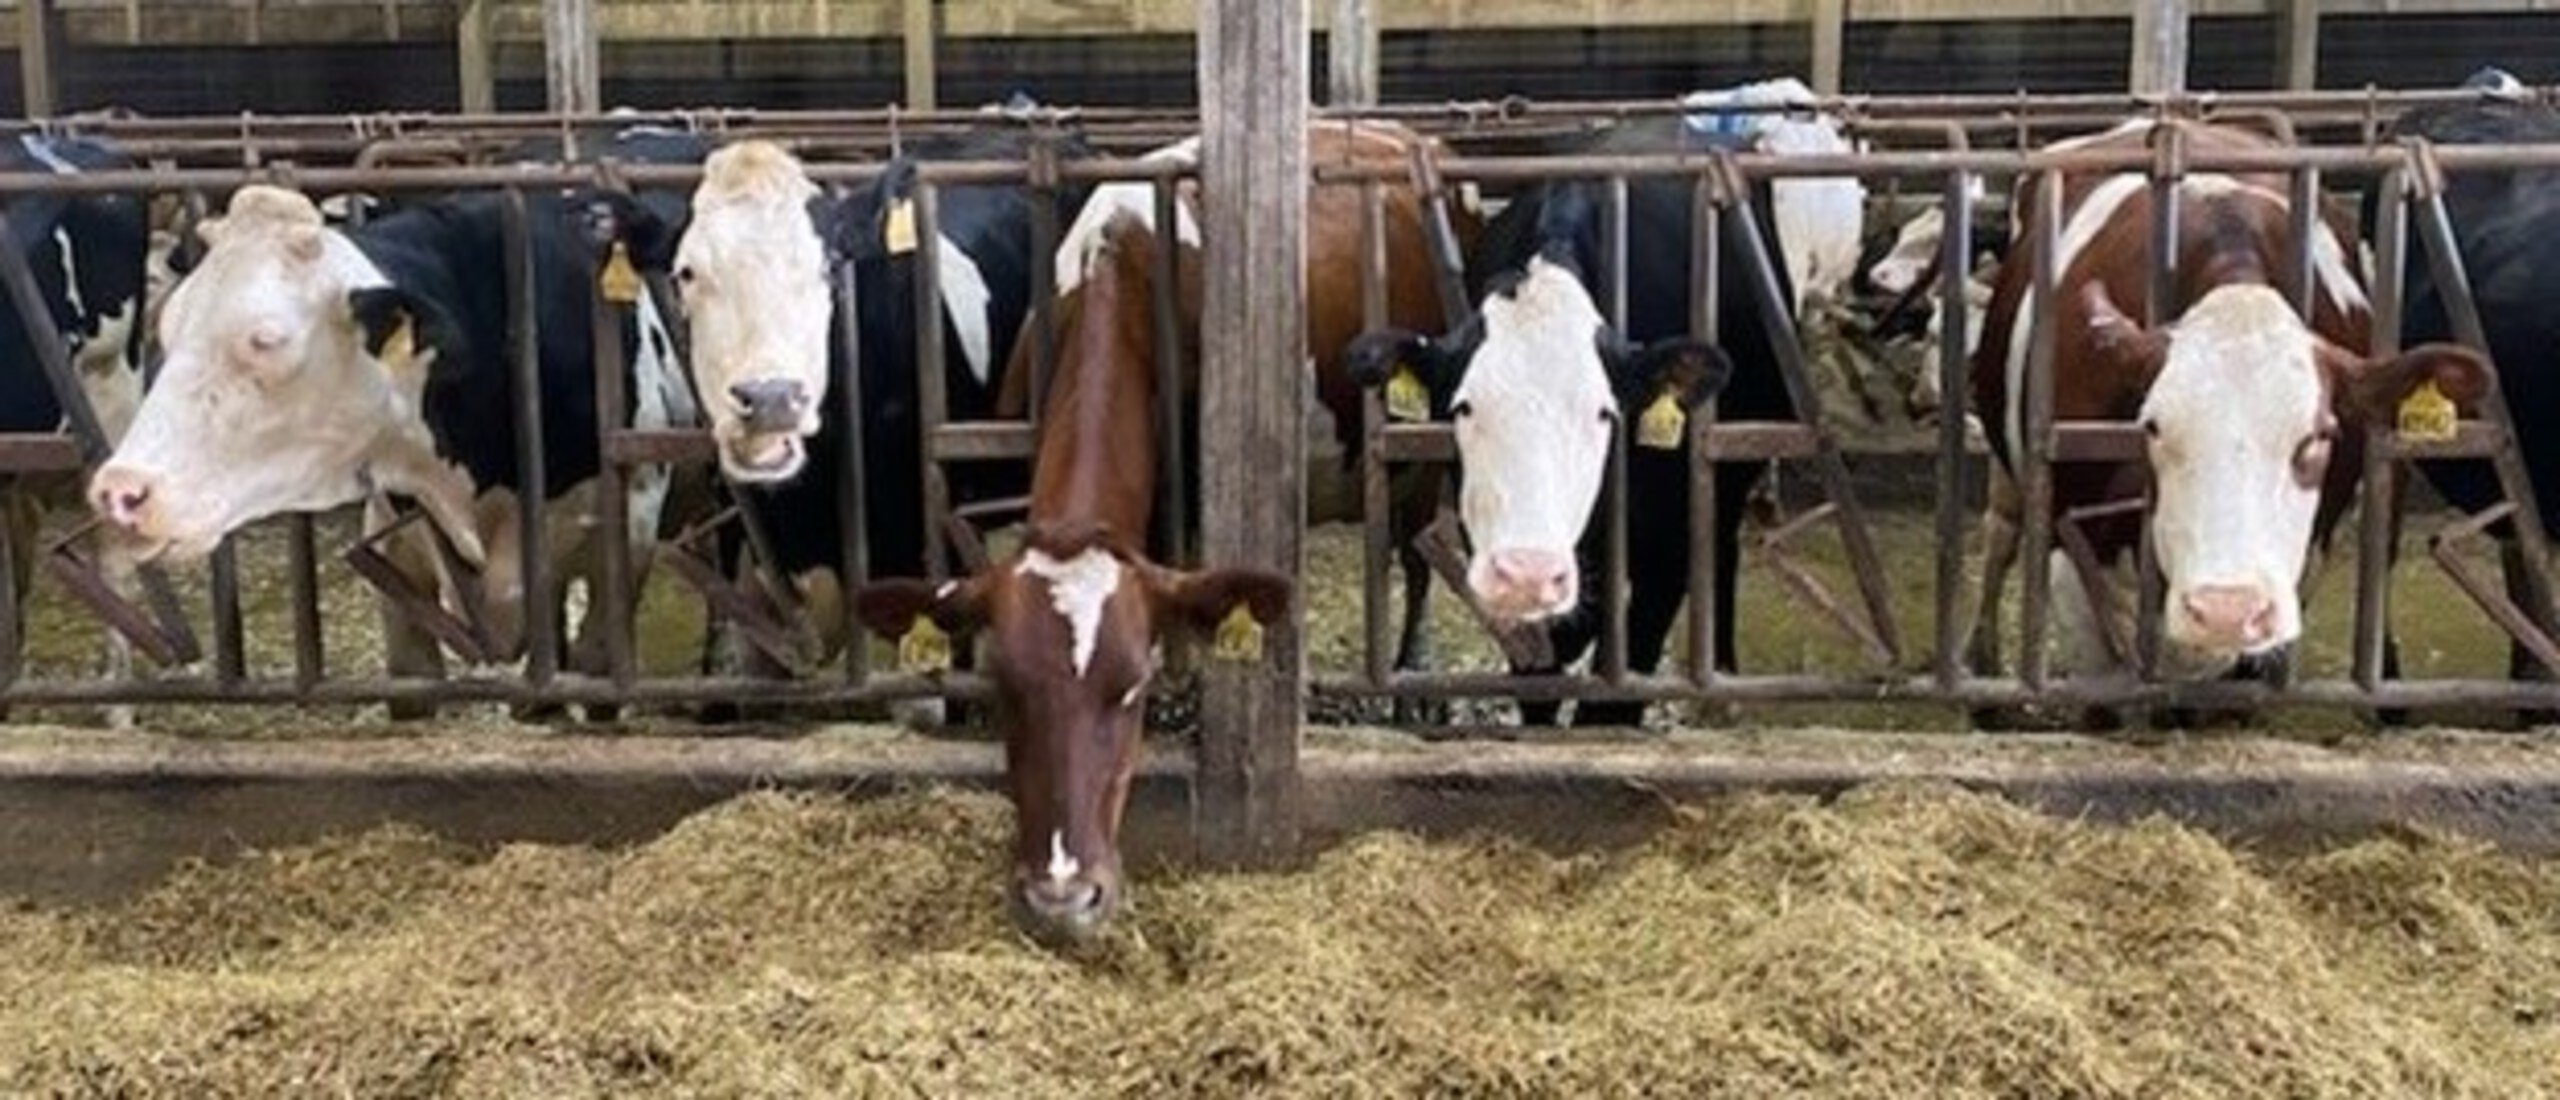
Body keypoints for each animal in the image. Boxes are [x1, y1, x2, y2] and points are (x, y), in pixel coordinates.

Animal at [84, 129, 706, 710]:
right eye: (169, 325)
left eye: (266, 340)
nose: (121, 490)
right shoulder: (392, 546)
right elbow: (413, 680)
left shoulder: (628, 531)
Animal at [1341, 116, 1762, 728]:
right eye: (1463, 407)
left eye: (1604, 412)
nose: (1529, 572)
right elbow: (1538, 675)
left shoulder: (1667, 551)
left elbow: (1616, 692)